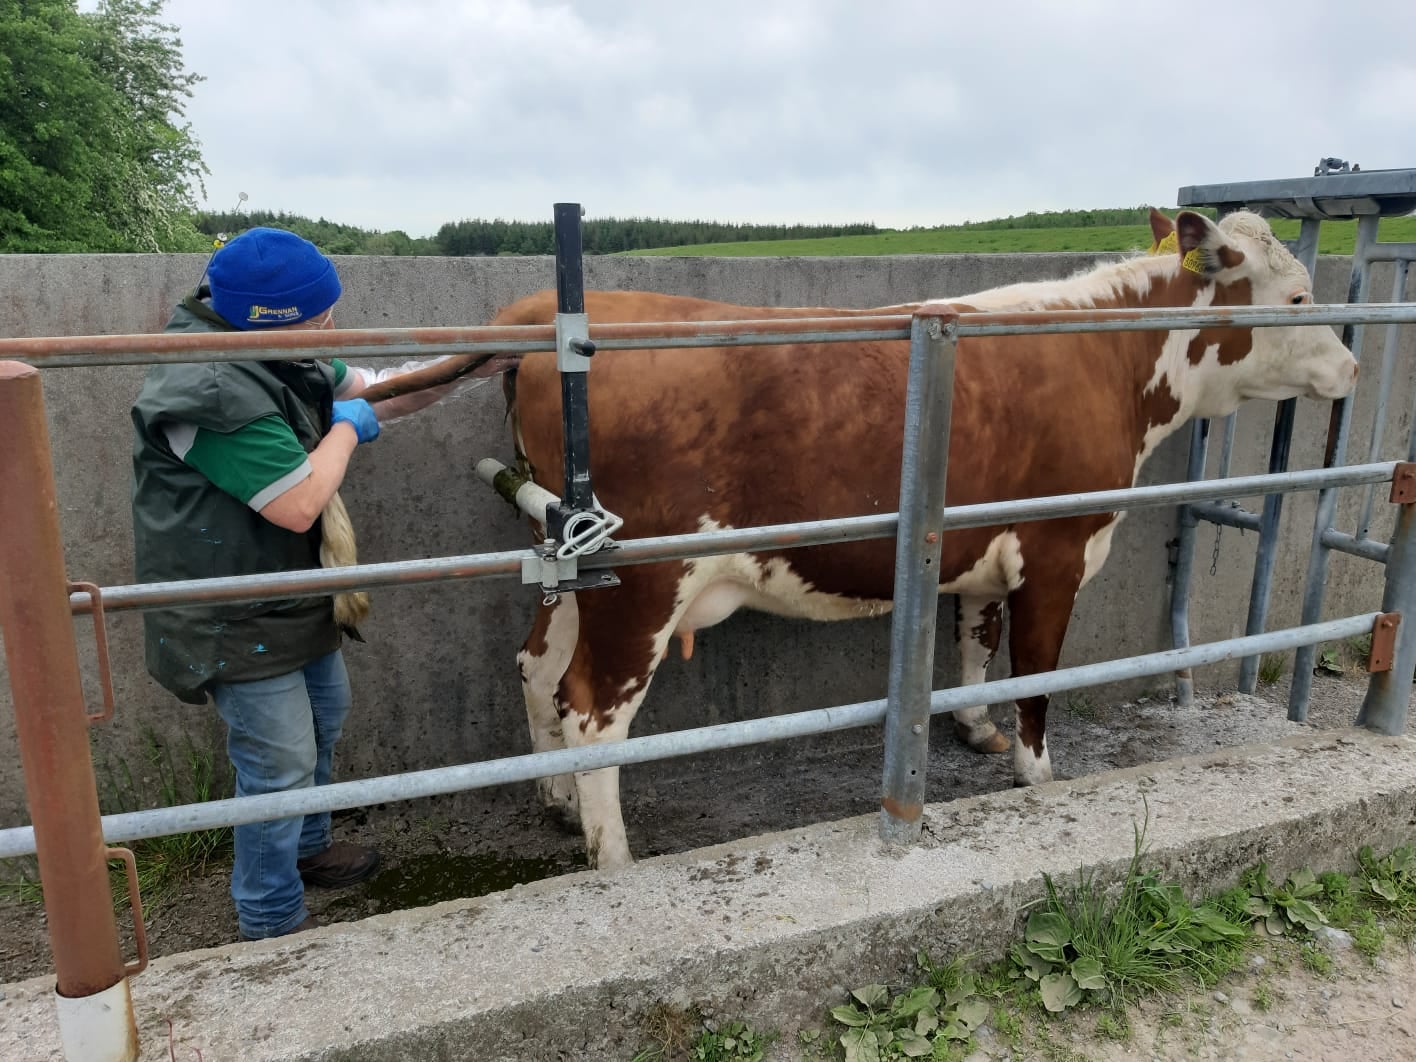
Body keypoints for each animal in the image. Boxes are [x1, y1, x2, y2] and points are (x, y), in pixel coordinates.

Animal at [424, 209, 1355, 871]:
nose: (1351, 367)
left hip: (565, 562)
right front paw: (1037, 774)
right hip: (645, 580)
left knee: (538, 668)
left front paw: (975, 728)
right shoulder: (1059, 547)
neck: (1108, 362)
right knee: (591, 710)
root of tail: (548, 314)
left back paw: (555, 802)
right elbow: (1038, 676)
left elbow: (977, 641)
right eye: (1300, 298)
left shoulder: (983, 547)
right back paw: (612, 856)